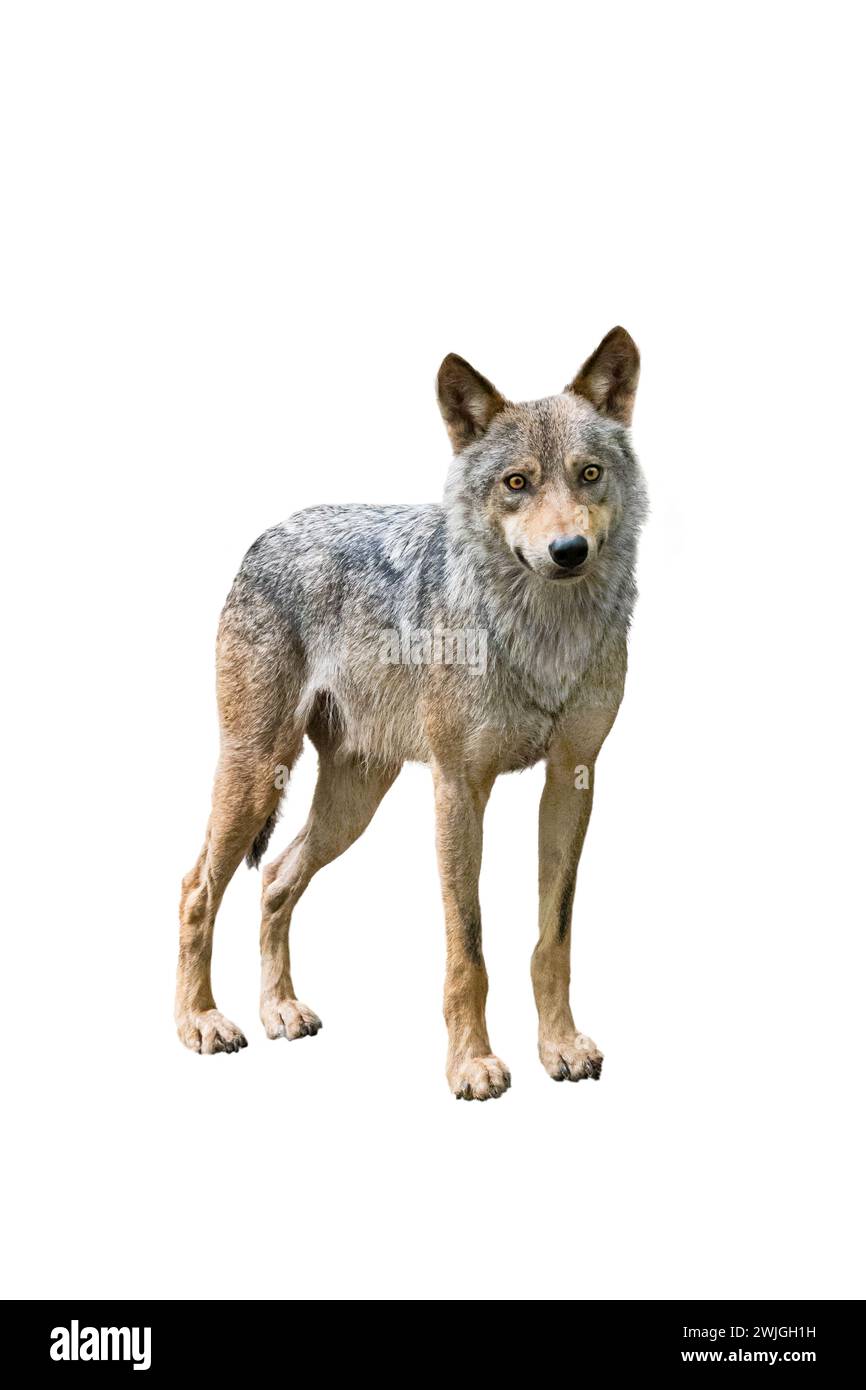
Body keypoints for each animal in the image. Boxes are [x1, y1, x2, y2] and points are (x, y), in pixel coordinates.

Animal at [176, 327, 647, 1100]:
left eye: (589, 474)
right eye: (516, 483)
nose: (568, 551)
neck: (541, 637)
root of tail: (269, 533)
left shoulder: (572, 780)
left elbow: (553, 937)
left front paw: (560, 1047)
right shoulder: (459, 788)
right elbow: (469, 947)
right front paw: (473, 1064)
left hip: (354, 802)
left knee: (275, 880)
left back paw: (280, 1011)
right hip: (257, 775)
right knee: (196, 889)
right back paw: (201, 1023)